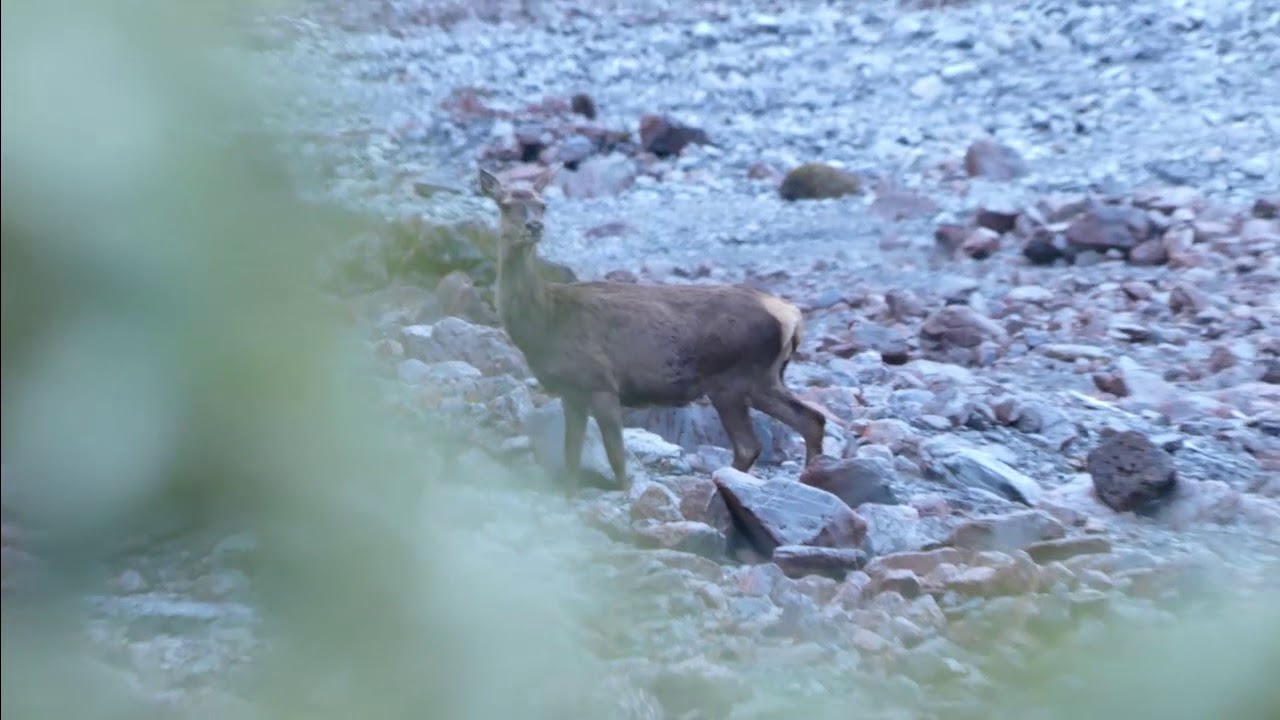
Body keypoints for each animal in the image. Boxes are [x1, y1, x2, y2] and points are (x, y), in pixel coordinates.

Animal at [477, 166, 827, 495]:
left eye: (542, 205)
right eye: (506, 205)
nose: (534, 226)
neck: (545, 320)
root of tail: (792, 316)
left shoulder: (601, 381)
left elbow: (616, 456)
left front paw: (624, 493)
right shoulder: (571, 390)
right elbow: (571, 455)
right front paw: (569, 496)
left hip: (733, 378)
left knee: (751, 444)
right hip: (763, 378)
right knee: (811, 419)